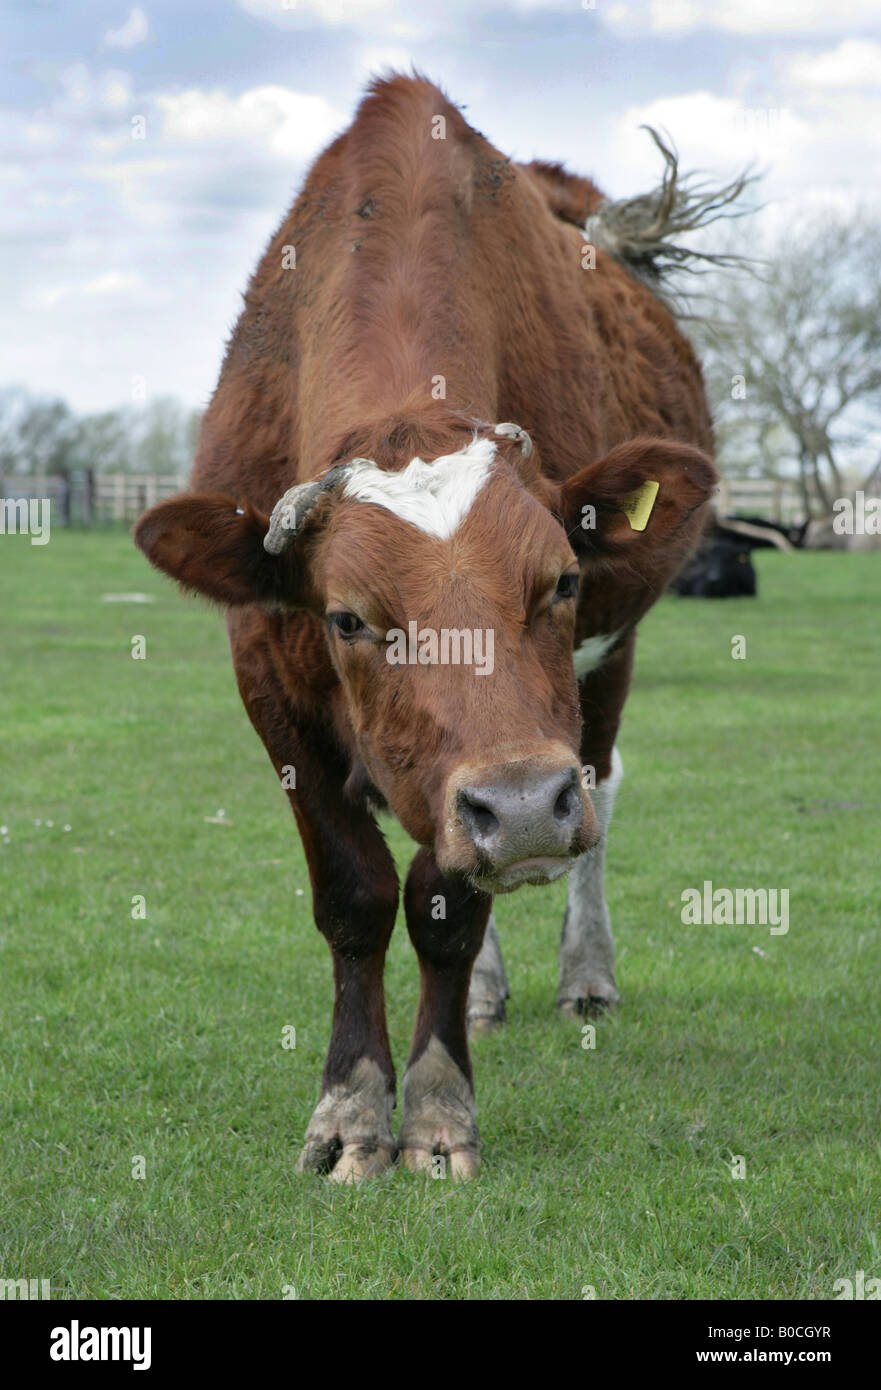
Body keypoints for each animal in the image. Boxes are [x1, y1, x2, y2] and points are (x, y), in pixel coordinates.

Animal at [134, 74, 718, 1181]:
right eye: (347, 617)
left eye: (560, 581)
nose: (525, 809)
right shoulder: (269, 683)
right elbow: (355, 898)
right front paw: (350, 1109)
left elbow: (444, 907)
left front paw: (439, 1114)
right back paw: (488, 993)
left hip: (601, 679)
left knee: (601, 788)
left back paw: (583, 972)